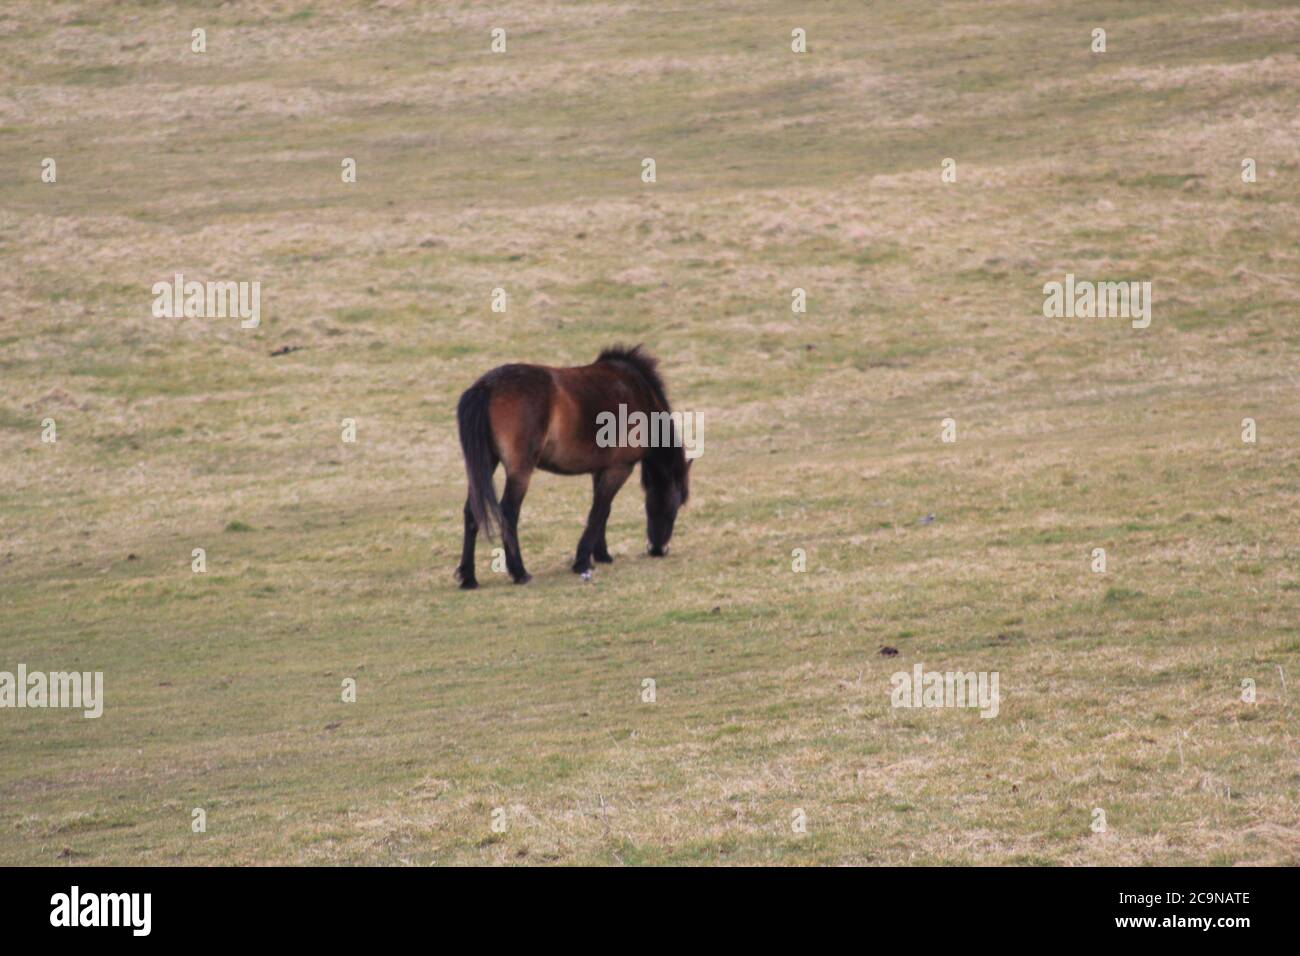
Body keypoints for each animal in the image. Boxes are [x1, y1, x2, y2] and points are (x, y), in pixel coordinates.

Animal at [454, 345, 691, 588]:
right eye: (674, 506)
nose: (658, 550)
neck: (638, 394)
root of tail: (487, 385)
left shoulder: (601, 469)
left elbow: (603, 510)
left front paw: (601, 554)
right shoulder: (619, 469)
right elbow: (598, 511)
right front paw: (582, 561)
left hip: (487, 463)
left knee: (472, 511)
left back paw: (468, 577)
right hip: (519, 470)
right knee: (509, 512)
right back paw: (519, 572)